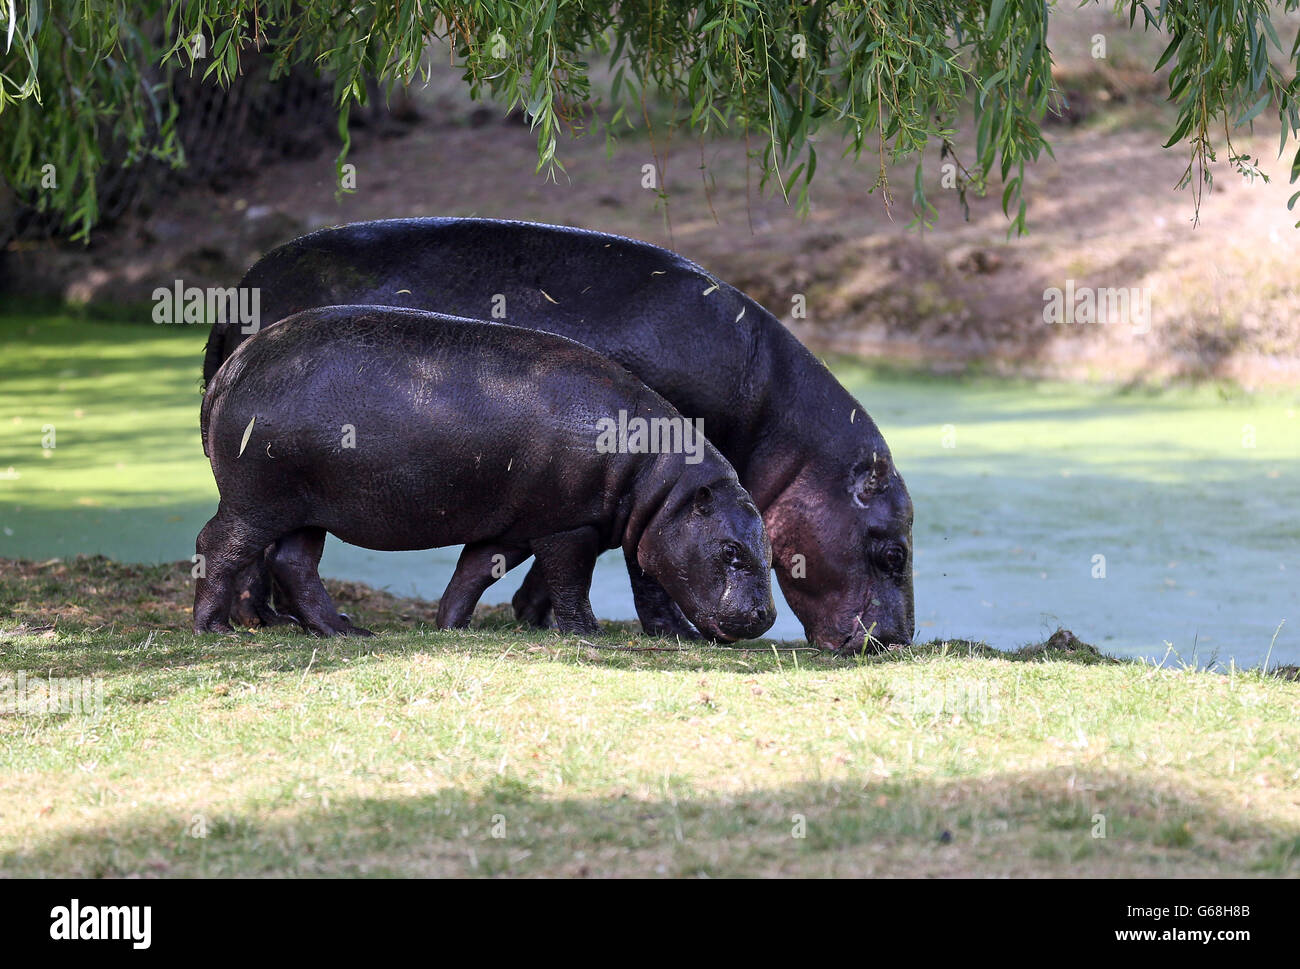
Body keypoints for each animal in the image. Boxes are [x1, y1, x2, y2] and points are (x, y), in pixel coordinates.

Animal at [195, 305, 776, 642]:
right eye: (732, 553)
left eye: (769, 549)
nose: (767, 618)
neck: (660, 483)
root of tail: (229, 369)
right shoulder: (569, 527)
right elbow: (571, 580)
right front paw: (587, 635)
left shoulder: (515, 526)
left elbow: (475, 571)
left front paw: (449, 627)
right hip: (256, 500)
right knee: (217, 545)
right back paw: (214, 629)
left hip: (305, 509)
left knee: (295, 563)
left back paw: (347, 633)